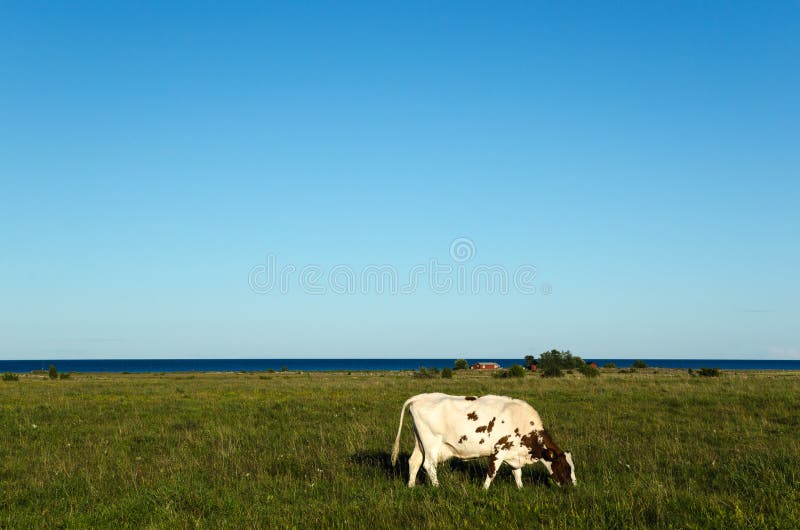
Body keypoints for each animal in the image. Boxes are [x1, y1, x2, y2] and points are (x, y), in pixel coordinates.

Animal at [391, 393, 576, 489]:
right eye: (565, 467)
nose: (573, 487)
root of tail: (420, 397)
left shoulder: (514, 453)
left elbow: (517, 473)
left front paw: (521, 488)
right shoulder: (499, 450)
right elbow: (492, 472)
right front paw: (484, 490)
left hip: (420, 442)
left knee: (413, 462)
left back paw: (411, 486)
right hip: (431, 443)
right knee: (429, 465)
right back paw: (437, 487)